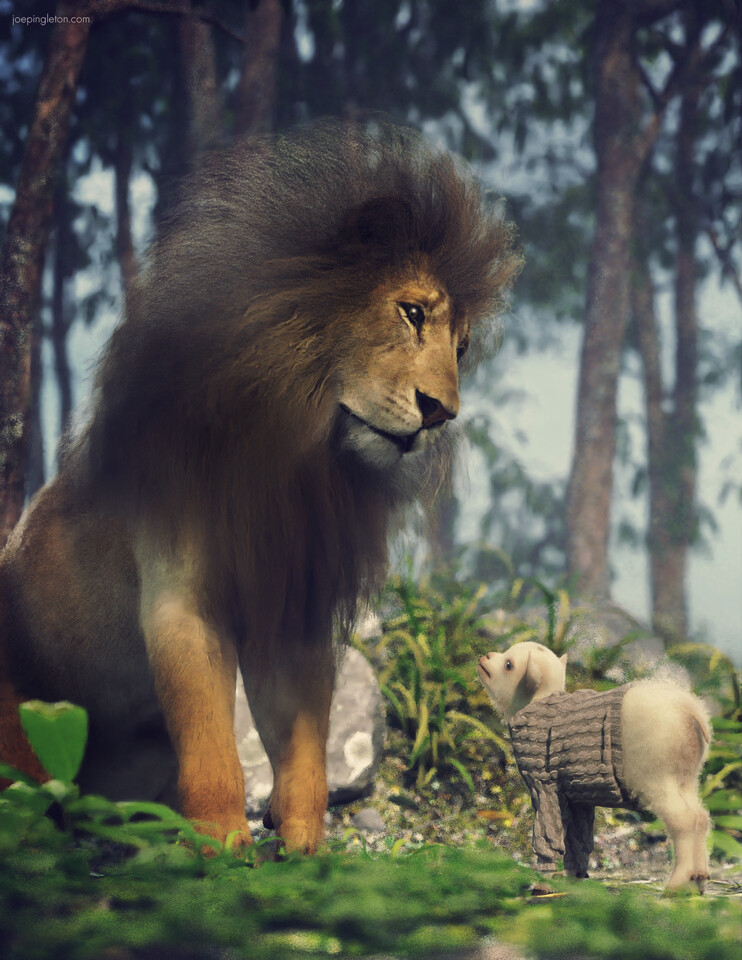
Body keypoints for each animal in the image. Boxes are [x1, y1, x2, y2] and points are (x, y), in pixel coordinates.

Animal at [0, 121, 520, 853]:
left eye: (463, 346)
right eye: (413, 313)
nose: (441, 411)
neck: (292, 450)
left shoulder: (296, 600)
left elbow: (303, 743)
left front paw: (303, 845)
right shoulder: (184, 600)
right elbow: (213, 750)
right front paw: (221, 845)